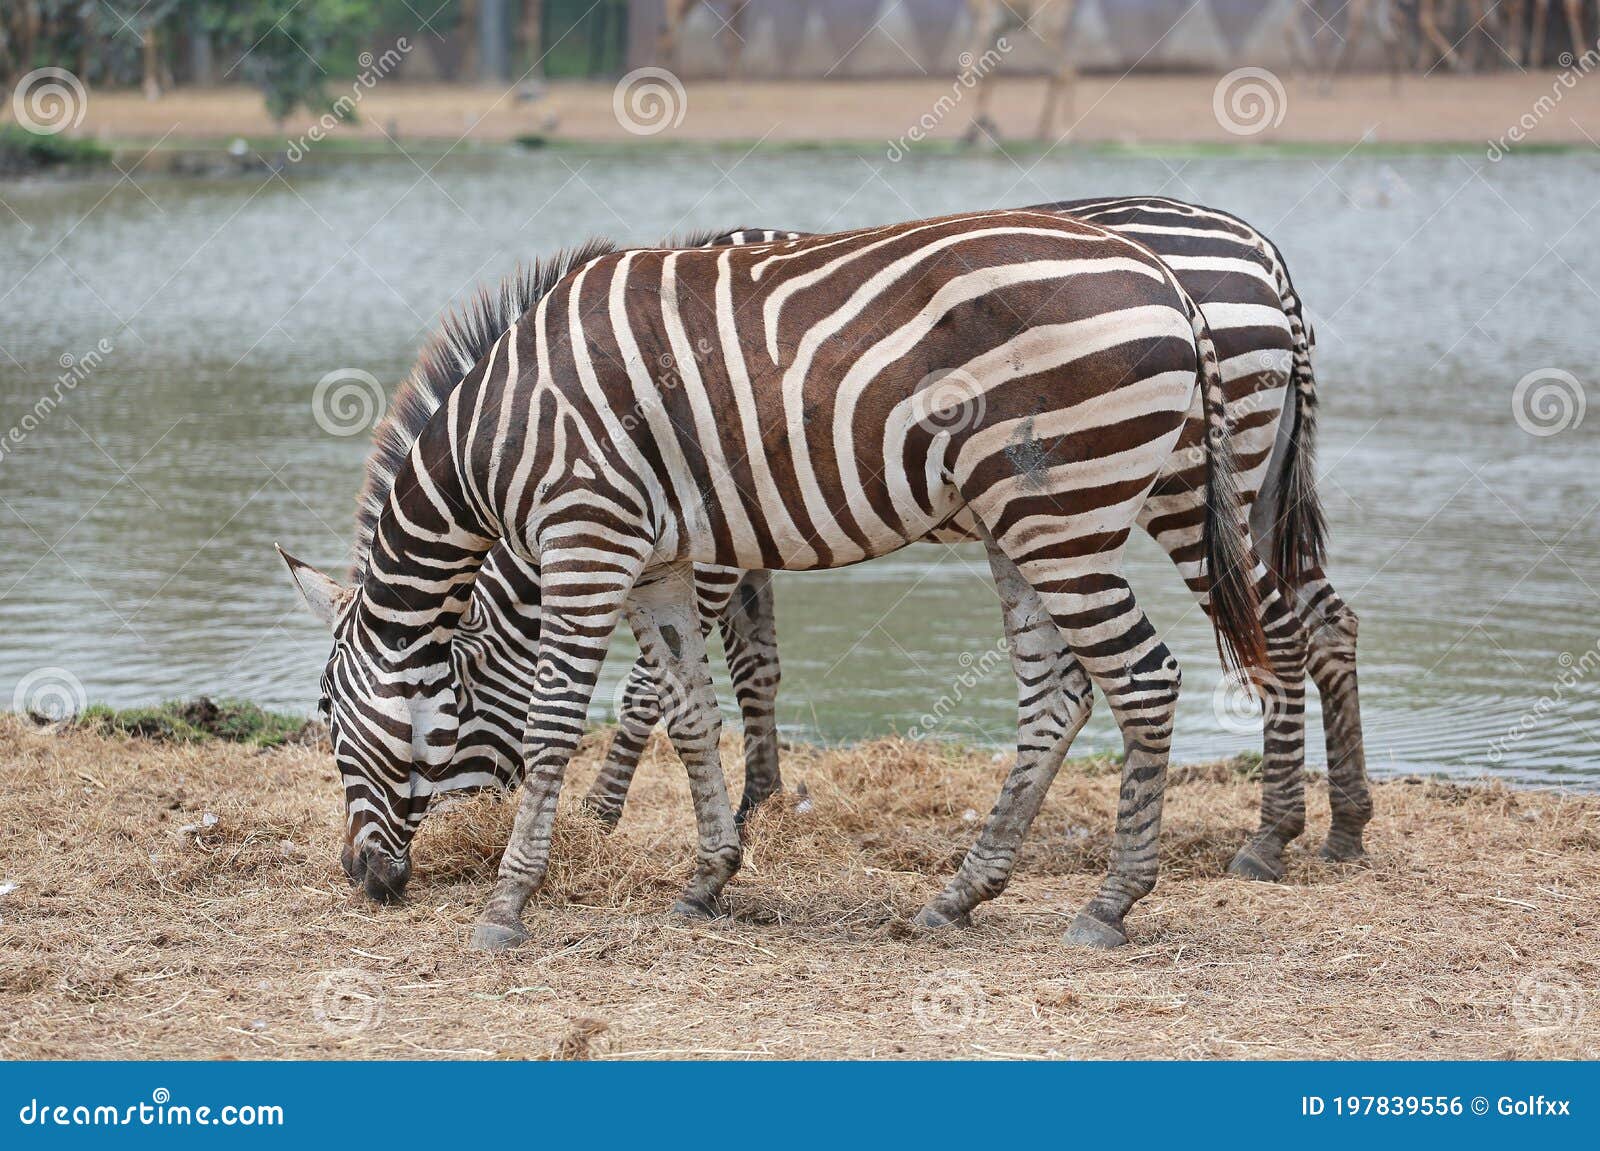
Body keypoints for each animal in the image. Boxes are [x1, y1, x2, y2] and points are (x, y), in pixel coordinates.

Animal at [279, 208, 1269, 951]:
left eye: (327, 713)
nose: (362, 879)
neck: (500, 437)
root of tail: (1160, 271)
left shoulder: (589, 539)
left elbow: (557, 721)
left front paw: (506, 903)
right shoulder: (660, 564)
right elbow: (688, 709)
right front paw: (706, 879)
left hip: (1070, 512)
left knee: (1145, 678)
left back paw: (1111, 904)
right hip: (1024, 523)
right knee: (1056, 693)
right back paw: (959, 895)